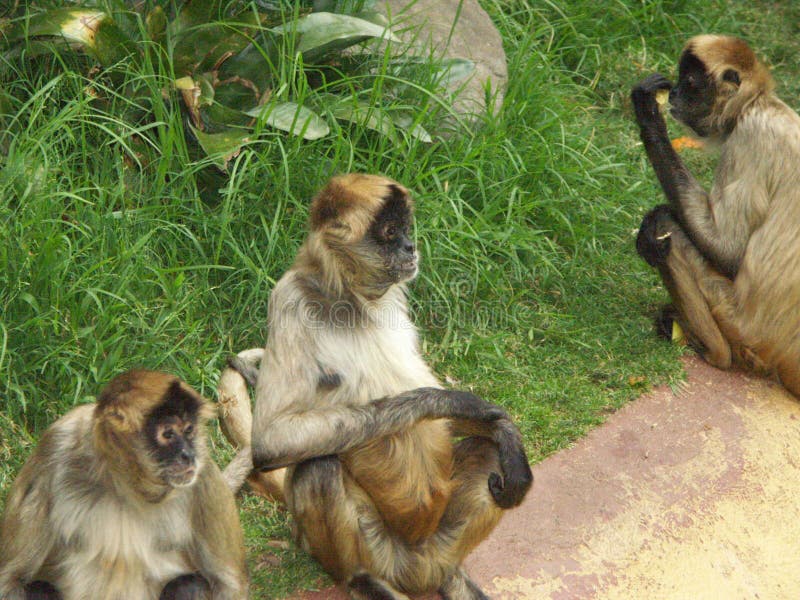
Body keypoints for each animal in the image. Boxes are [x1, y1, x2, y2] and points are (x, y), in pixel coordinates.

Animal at [0, 370, 249, 600]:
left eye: (188, 430)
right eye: (167, 434)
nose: (188, 455)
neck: (124, 484)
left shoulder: (202, 470)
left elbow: (226, 583)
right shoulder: (56, 443)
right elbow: (11, 579)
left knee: (188, 585)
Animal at [217, 173, 533, 599]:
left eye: (406, 229)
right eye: (390, 232)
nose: (411, 246)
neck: (354, 301)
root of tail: (416, 567)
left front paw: (505, 429)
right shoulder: (289, 297)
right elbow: (272, 440)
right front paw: (456, 402)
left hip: (439, 542)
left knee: (488, 451)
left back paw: (450, 575)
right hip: (373, 547)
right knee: (318, 466)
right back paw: (362, 580)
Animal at [631, 34, 800, 396]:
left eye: (690, 82)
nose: (674, 95)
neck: (758, 103)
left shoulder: (750, 136)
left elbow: (729, 252)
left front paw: (649, 115)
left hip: (738, 320)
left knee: (664, 225)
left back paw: (713, 350)